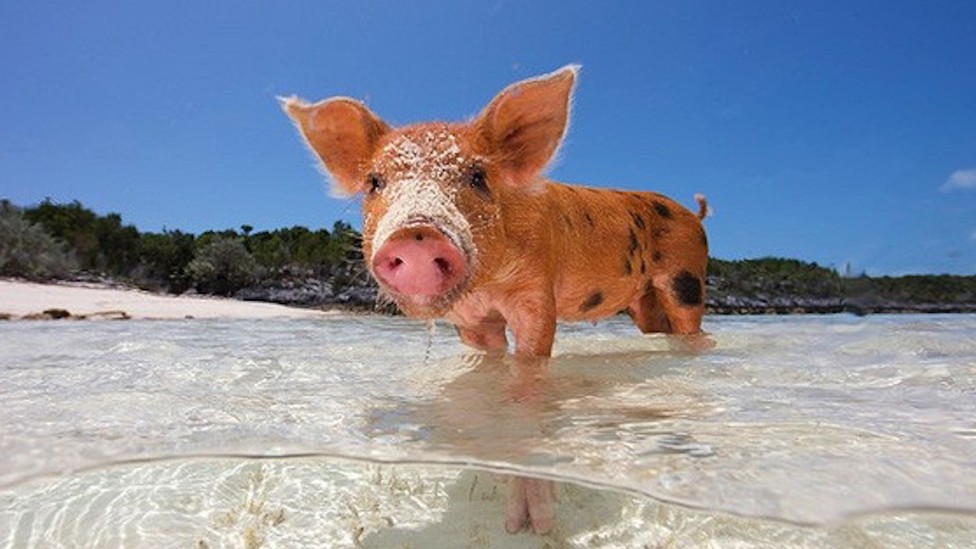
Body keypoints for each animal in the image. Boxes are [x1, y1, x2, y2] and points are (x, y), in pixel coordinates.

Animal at [282, 65, 709, 533]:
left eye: (477, 177)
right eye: (375, 182)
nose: (417, 232)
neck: (486, 288)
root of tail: (693, 215)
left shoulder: (536, 294)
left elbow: (529, 371)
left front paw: (532, 524)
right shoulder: (471, 320)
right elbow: (487, 371)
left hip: (687, 279)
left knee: (696, 332)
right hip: (645, 304)